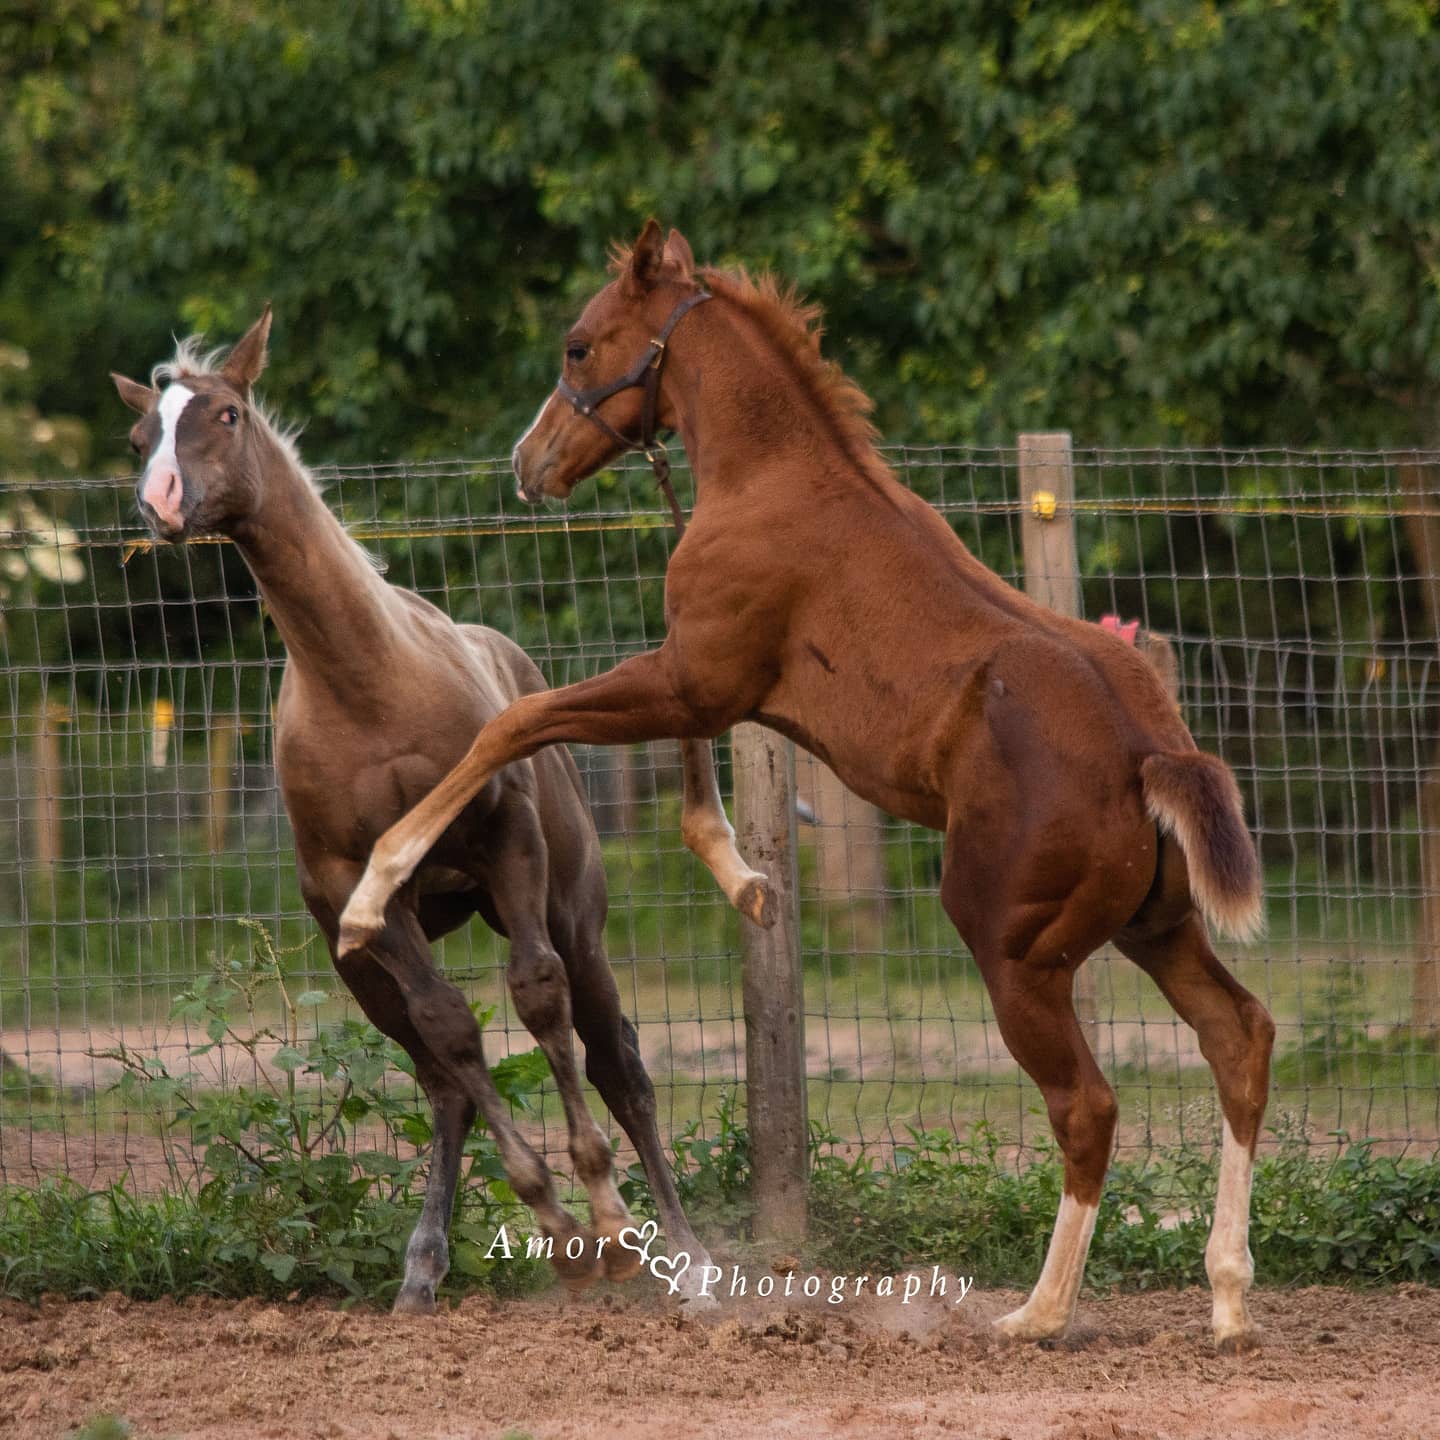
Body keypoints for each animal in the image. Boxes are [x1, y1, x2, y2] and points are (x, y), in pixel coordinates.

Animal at [111, 307, 724, 1311]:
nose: (160, 501)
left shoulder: (507, 840)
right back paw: (424, 1269)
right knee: (442, 1079)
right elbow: (453, 1033)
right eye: (139, 437)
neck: (369, 684)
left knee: (616, 1059)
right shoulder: (361, 898)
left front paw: (607, 1216)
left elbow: (538, 995)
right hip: (360, 966)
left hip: (574, 909)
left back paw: (689, 1257)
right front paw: (558, 1223)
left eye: (228, 413)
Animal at [338, 221, 1276, 1351]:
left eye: (578, 344)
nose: (530, 462)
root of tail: (1150, 754)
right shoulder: (707, 687)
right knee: (1239, 1038)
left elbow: (510, 724)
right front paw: (748, 882)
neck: (777, 483)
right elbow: (680, 774)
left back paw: (1037, 1313)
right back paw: (1227, 1296)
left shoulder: (692, 673)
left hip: (1017, 949)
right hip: (1155, 926)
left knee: (1088, 1106)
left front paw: (370, 890)